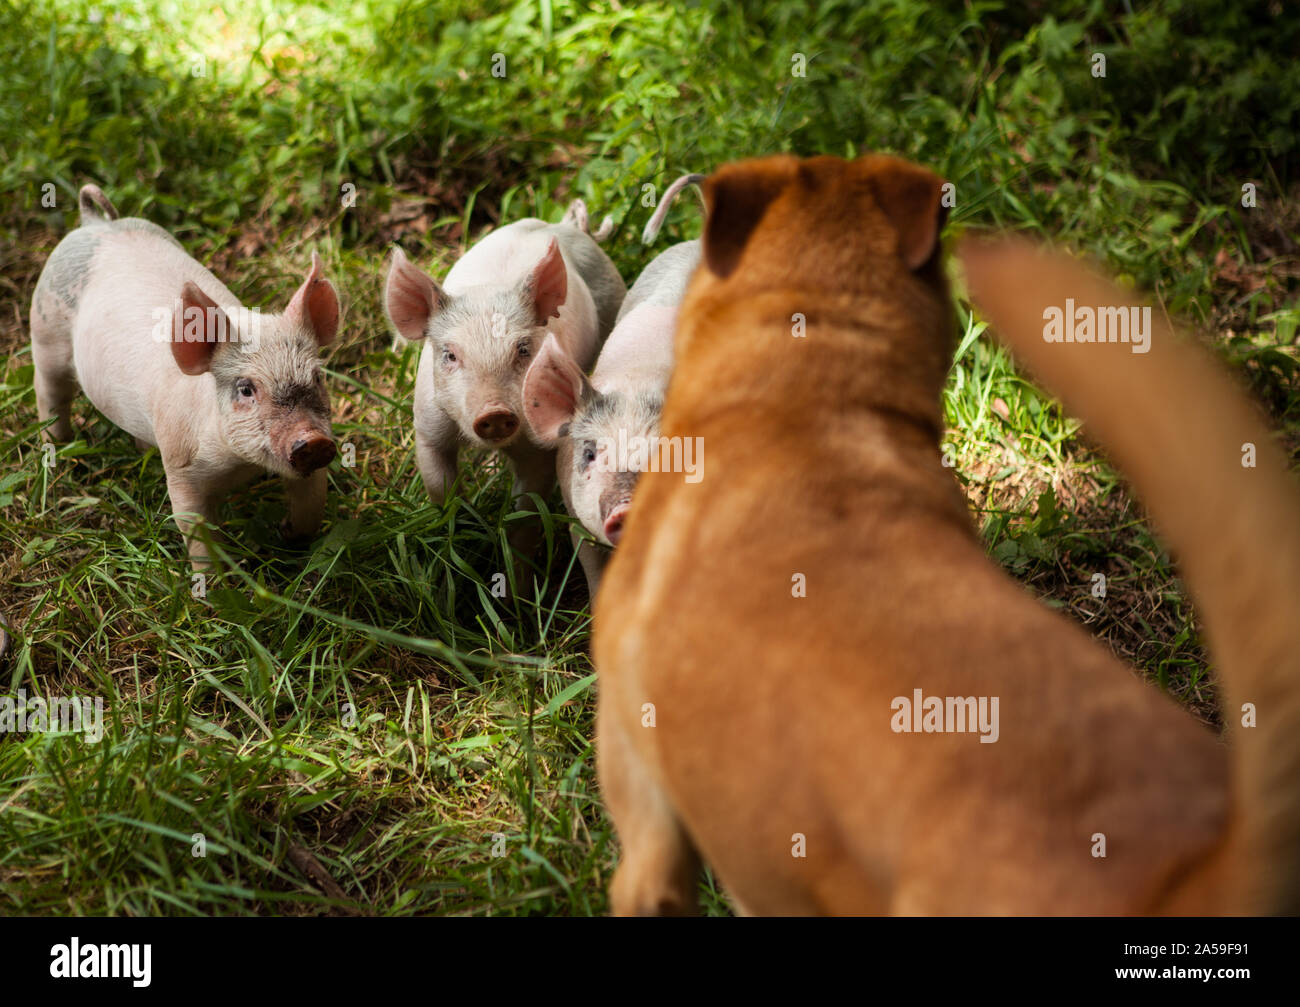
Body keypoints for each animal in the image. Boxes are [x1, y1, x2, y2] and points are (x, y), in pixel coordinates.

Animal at [30, 184, 339, 568]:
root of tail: (93, 222)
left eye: (317, 377)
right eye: (246, 389)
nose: (312, 440)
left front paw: (287, 535)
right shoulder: (180, 464)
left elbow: (312, 505)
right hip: (45, 329)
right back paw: (58, 451)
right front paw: (216, 580)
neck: (239, 465)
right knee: (49, 392)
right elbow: (194, 530)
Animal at [382, 199, 626, 589]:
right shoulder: (428, 426)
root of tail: (563, 225)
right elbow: (441, 489)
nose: (494, 412)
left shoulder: (540, 448)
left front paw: (516, 594)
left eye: (524, 349)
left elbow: (526, 517)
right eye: (450, 355)